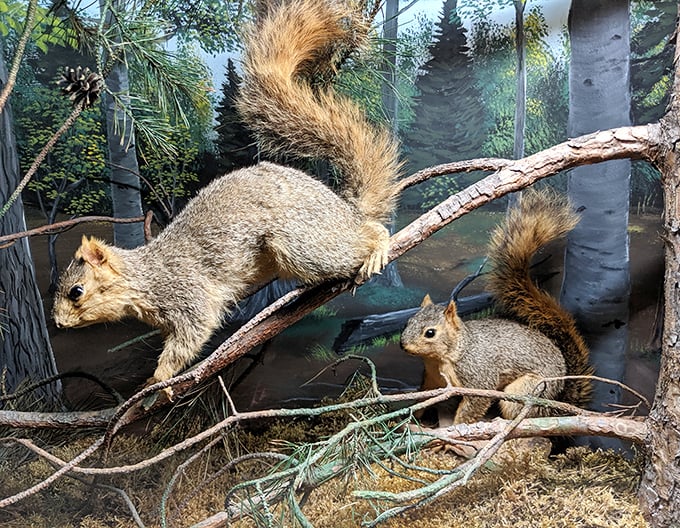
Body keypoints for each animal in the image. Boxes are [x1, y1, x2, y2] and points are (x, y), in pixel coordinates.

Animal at [52, 0, 401, 386]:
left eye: (76, 291)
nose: (57, 322)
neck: (146, 276)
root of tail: (344, 208)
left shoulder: (188, 296)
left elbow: (191, 335)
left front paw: (158, 381)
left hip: (304, 244)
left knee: (363, 235)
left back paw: (376, 247)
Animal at [400, 189, 592, 424]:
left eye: (430, 333)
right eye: (408, 321)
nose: (403, 345)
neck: (446, 356)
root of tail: (558, 403)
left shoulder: (479, 377)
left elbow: (473, 406)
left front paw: (455, 429)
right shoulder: (432, 381)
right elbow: (423, 398)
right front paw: (408, 417)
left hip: (525, 391)